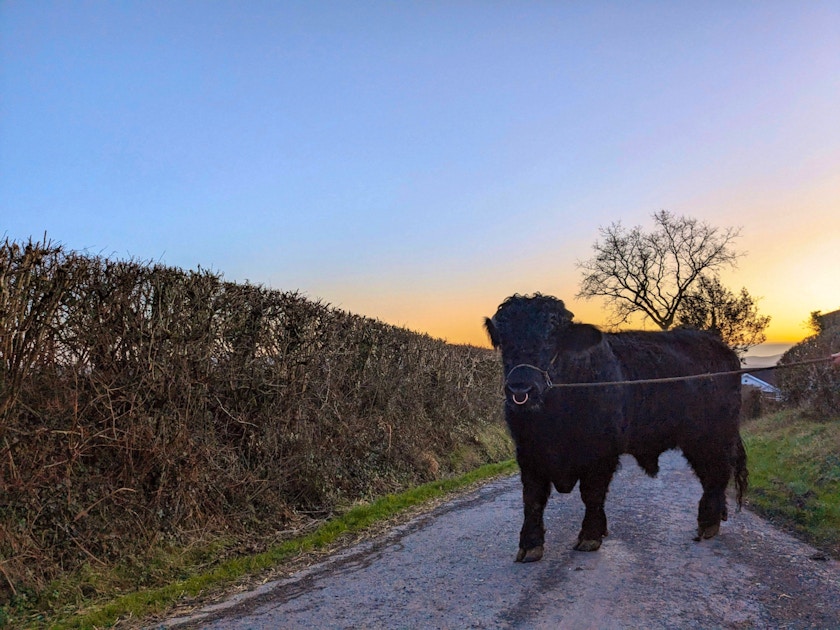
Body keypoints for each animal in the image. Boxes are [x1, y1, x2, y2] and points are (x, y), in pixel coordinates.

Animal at [484, 294, 748, 562]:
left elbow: (592, 494)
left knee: (716, 474)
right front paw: (530, 545)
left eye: (552, 338)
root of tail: (720, 347)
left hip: (712, 436)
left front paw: (590, 536)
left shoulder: (601, 454)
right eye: (504, 341)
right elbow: (533, 499)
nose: (520, 388)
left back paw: (708, 524)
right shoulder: (528, 453)